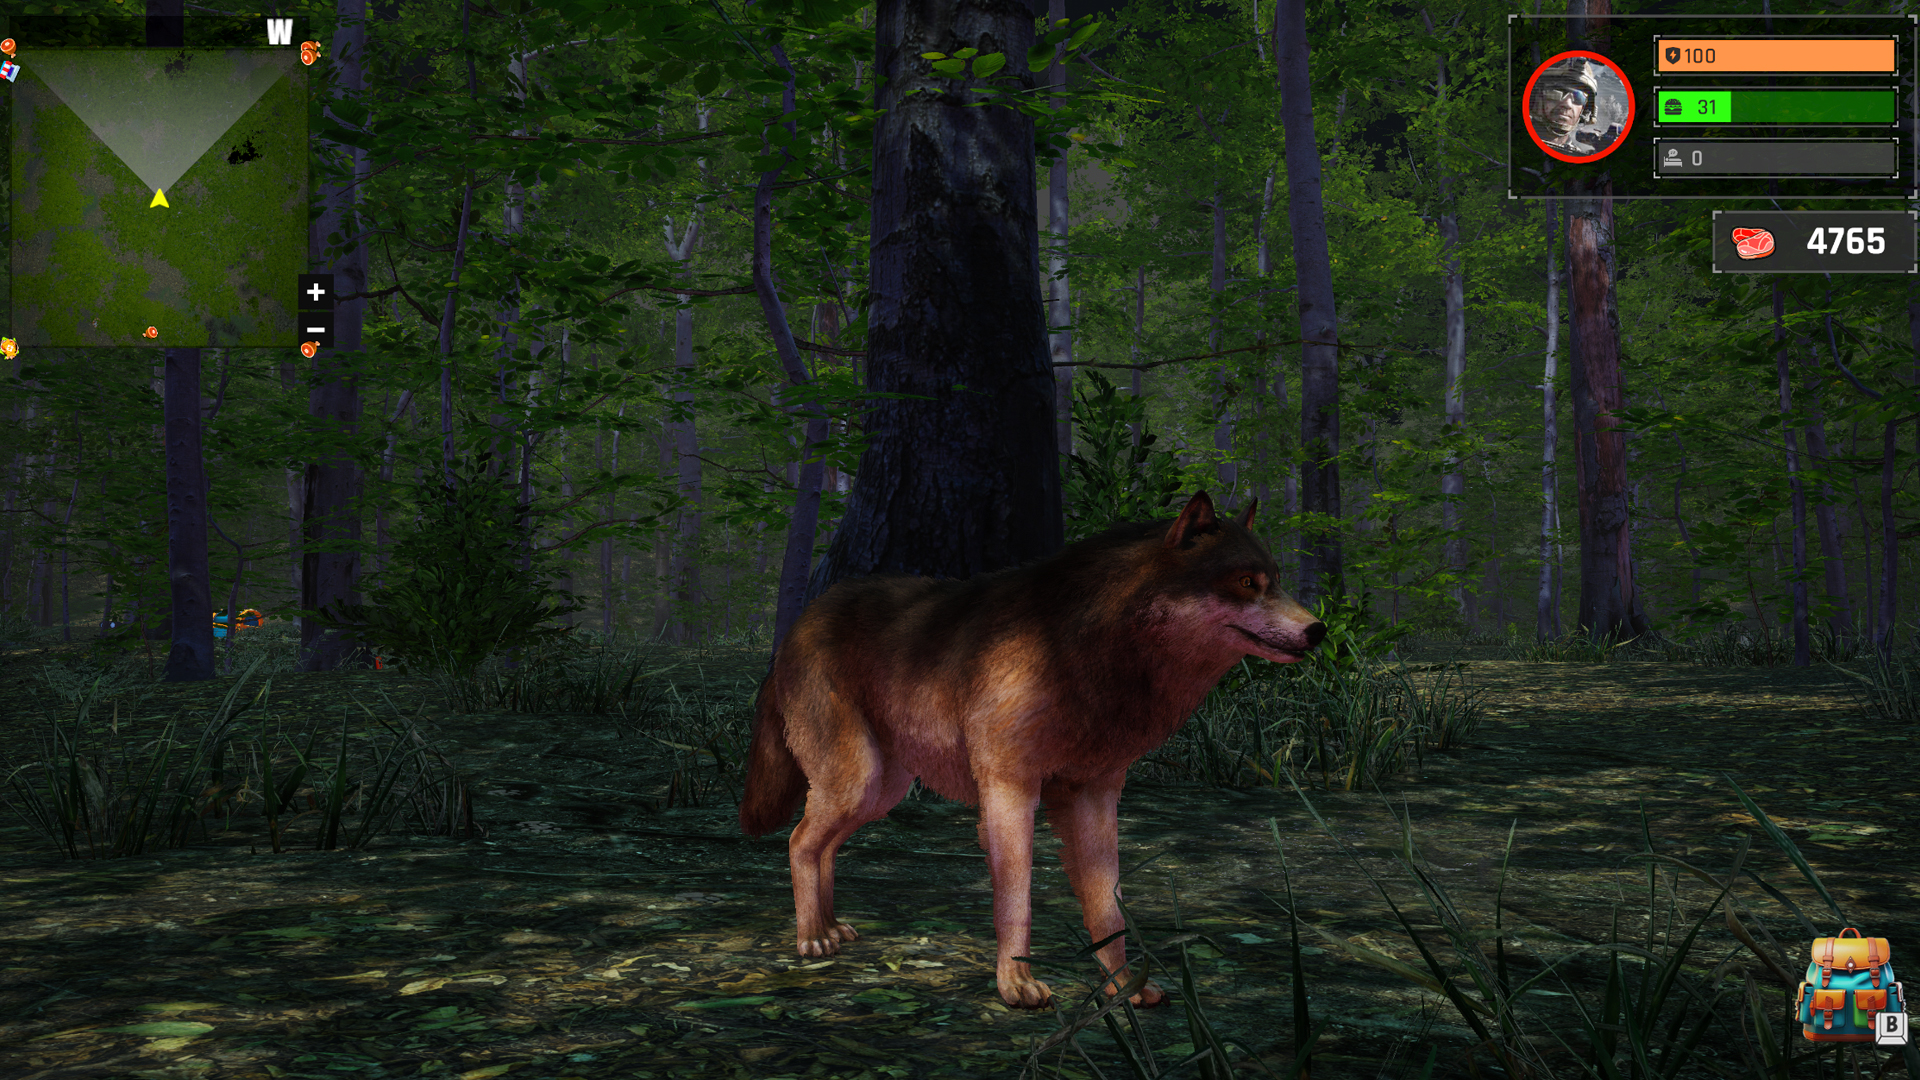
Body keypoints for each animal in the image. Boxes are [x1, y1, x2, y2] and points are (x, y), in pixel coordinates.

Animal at [738, 491, 1325, 1009]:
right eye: (1247, 583)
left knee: (824, 846)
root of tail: (798, 623)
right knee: (799, 841)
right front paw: (1016, 986)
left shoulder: (1097, 797)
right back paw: (811, 937)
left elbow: (1108, 911)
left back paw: (830, 926)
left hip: (879, 793)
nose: (1318, 630)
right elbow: (1015, 901)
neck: (1086, 650)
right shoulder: (1009, 790)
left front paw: (1124, 988)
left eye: (1276, 581)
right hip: (856, 783)